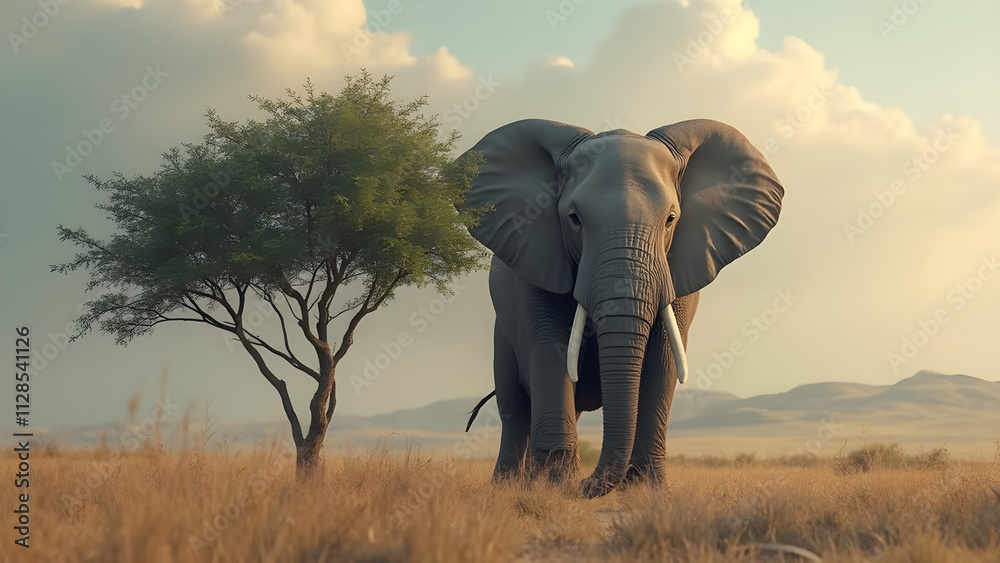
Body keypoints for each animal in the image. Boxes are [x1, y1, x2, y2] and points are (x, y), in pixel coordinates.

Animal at [459, 118, 783, 498]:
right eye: (574, 218)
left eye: (671, 219)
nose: (586, 485)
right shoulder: (535, 266)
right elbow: (551, 351)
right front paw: (557, 488)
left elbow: (663, 359)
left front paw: (648, 491)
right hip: (503, 333)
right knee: (514, 408)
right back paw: (510, 487)